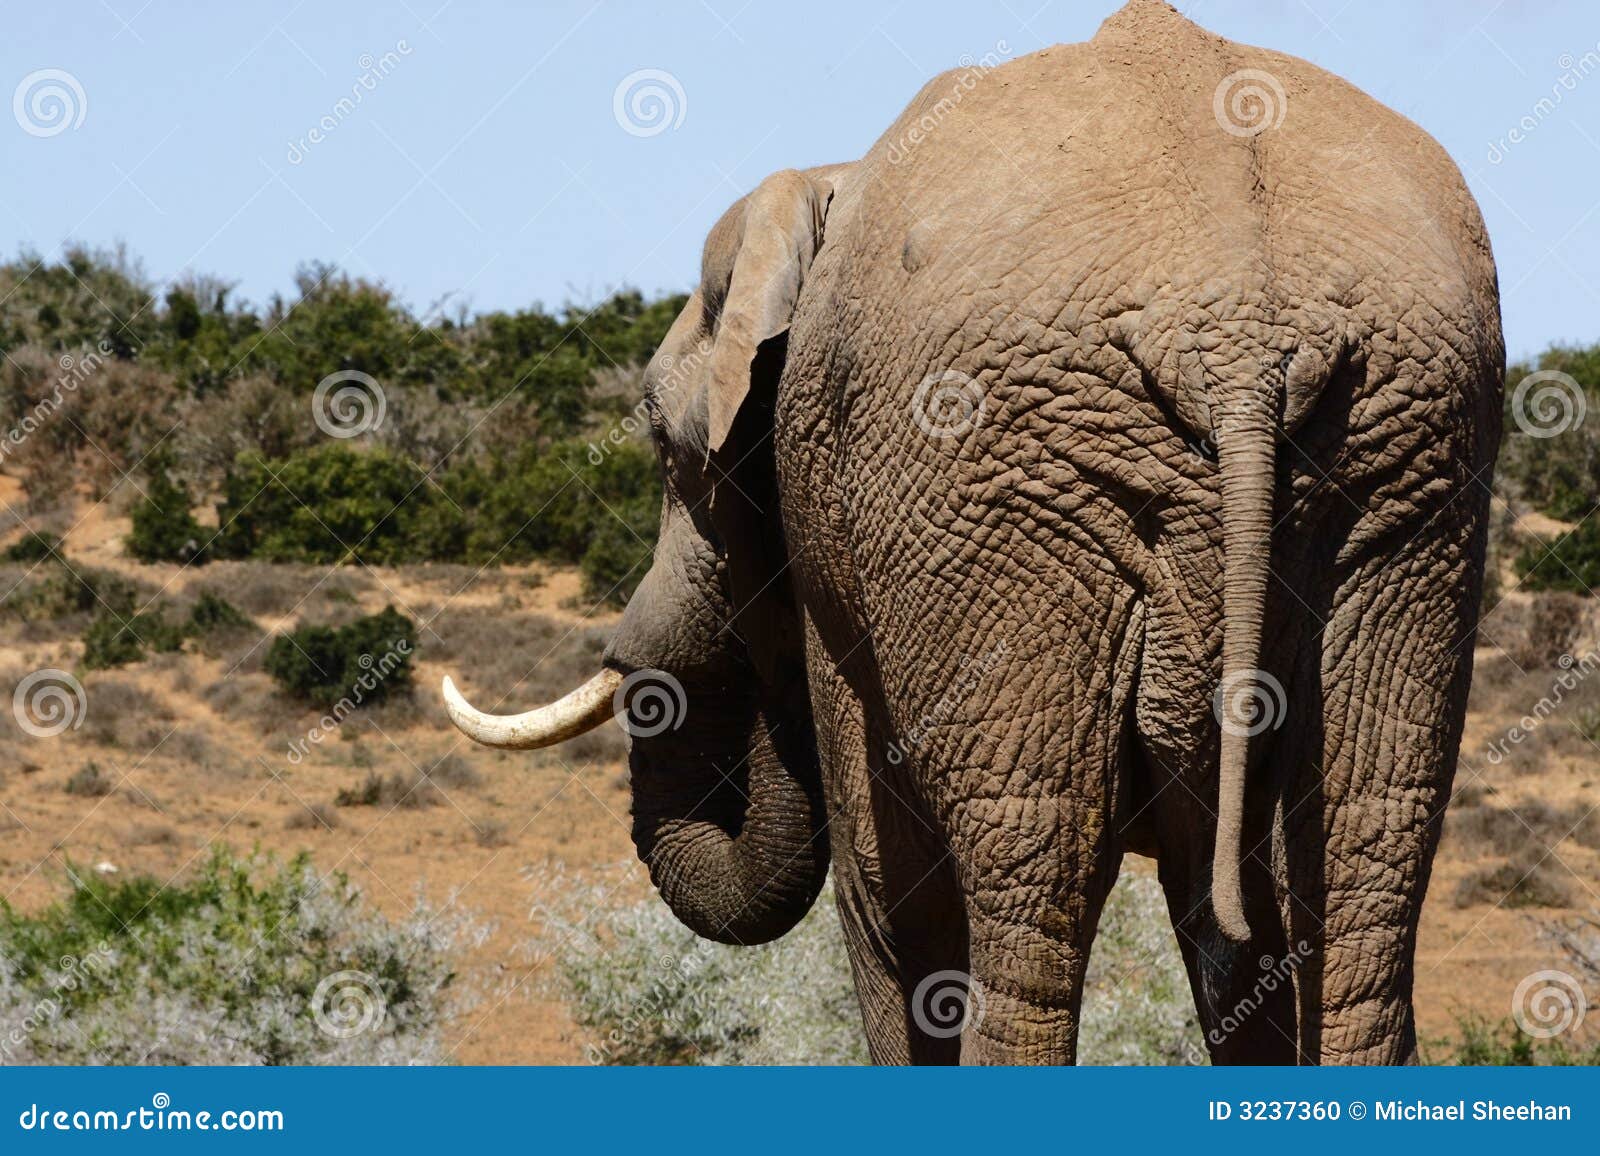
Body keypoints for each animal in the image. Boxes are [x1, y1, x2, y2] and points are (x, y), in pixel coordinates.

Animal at [444, 0, 1503, 1064]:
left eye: (667, 444)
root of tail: (1242, 333)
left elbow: (882, 879)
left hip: (1004, 499)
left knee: (1027, 888)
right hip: (1403, 485)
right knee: (1358, 874)